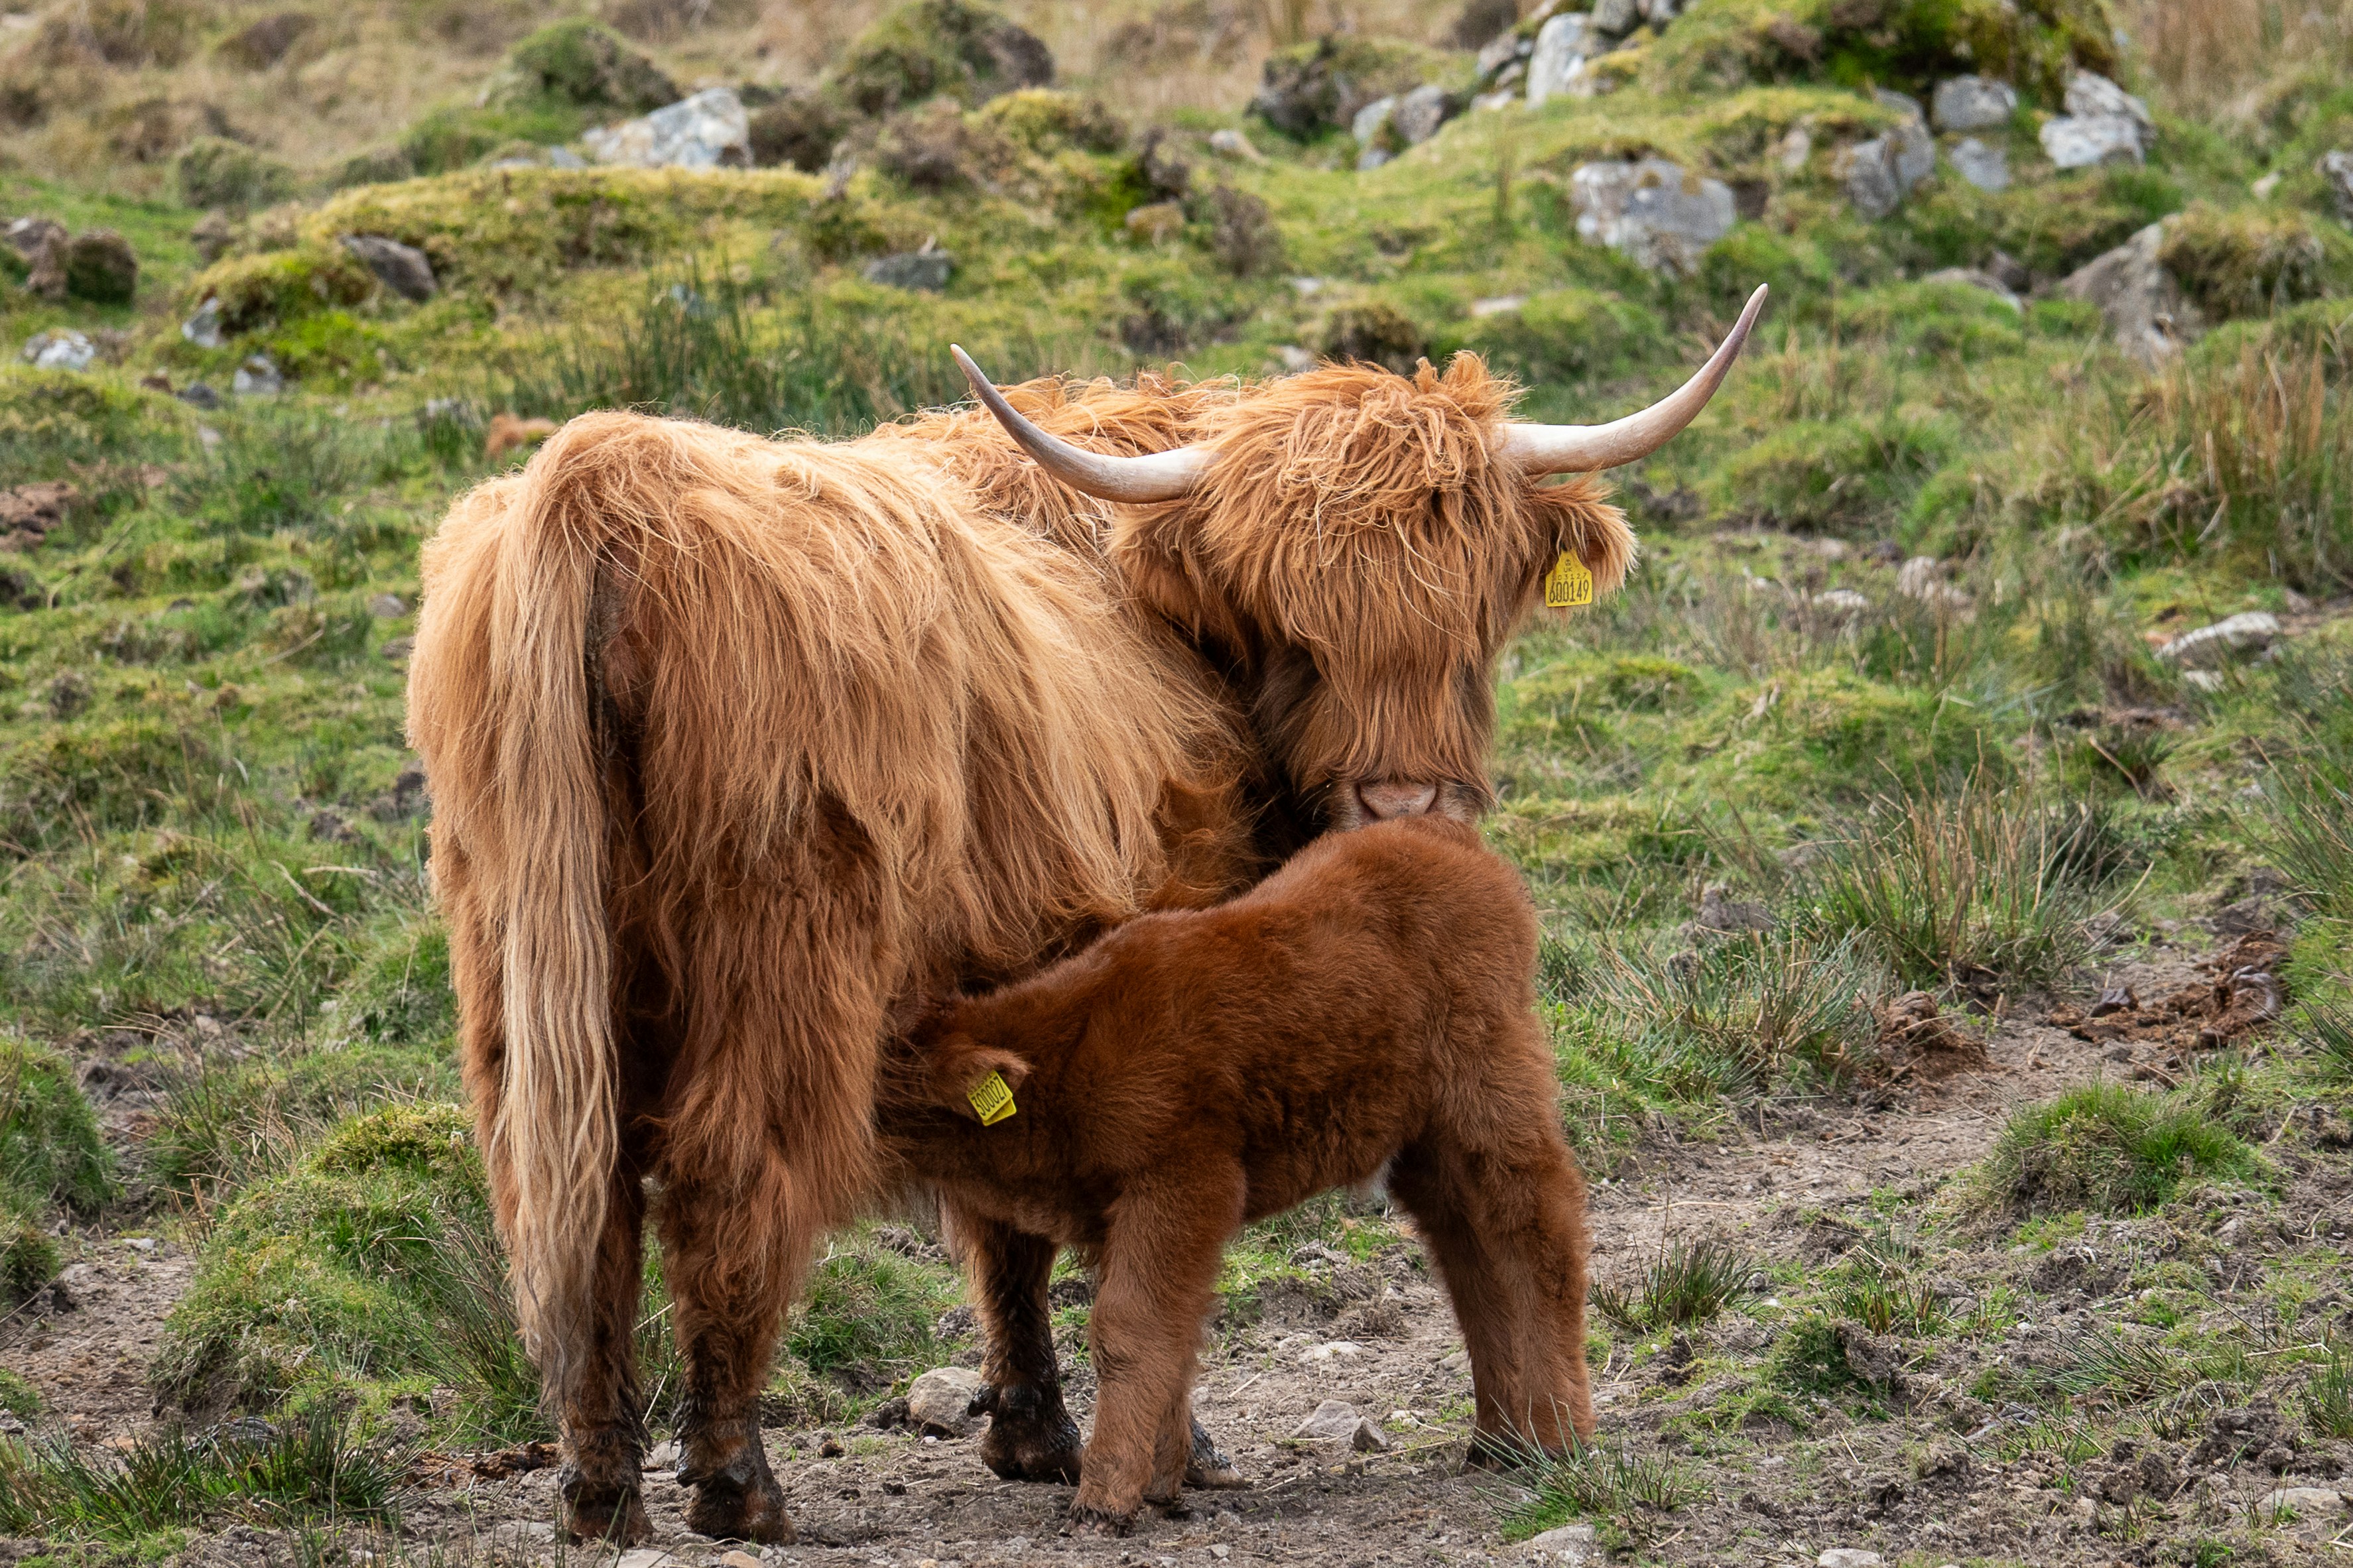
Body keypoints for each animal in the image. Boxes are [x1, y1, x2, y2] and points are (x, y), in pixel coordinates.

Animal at [883, 813, 1590, 1534]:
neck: (1069, 1045)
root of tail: (1443, 834)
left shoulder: (1181, 1184)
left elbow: (1127, 1329)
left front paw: (1104, 1498)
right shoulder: (1126, 1218)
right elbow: (1170, 1324)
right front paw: (1161, 1483)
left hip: (1490, 1099)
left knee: (1534, 1234)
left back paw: (1555, 1437)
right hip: (1425, 1146)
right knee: (1469, 1257)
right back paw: (1496, 1442)